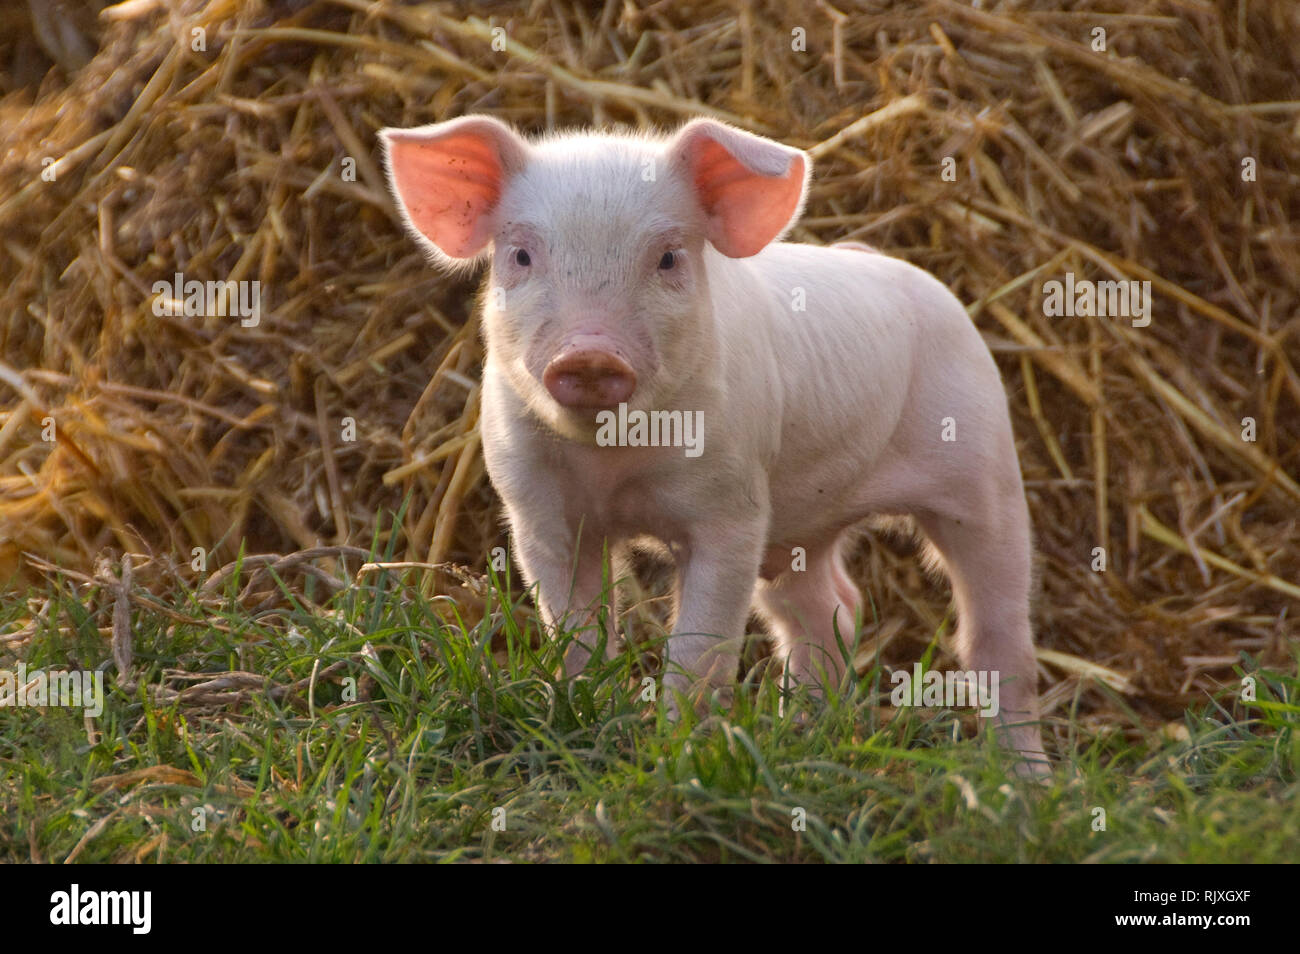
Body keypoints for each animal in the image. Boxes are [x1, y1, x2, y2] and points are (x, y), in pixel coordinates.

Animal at [380, 115, 1048, 772]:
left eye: (669, 258)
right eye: (520, 255)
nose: (590, 353)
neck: (612, 464)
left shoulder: (732, 509)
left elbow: (700, 647)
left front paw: (674, 750)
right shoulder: (537, 509)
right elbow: (576, 629)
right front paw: (589, 718)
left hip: (982, 465)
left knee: (995, 636)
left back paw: (1023, 779)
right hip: (799, 529)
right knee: (832, 609)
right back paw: (805, 735)